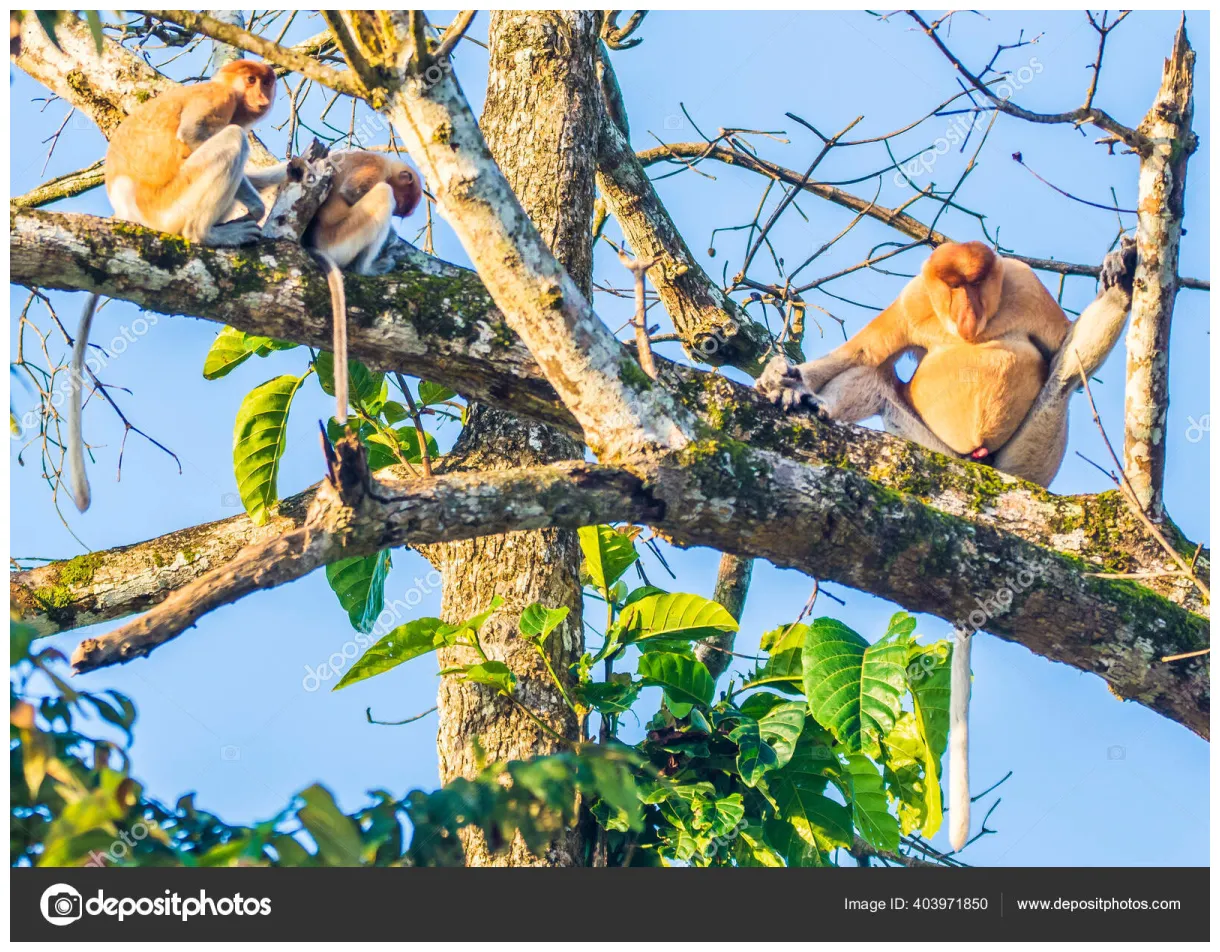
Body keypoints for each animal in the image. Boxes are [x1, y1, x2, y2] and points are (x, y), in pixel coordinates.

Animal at [68, 59, 279, 513]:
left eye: (266, 81)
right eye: (250, 80)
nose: (262, 95)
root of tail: (132, 216)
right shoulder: (218, 100)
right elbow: (193, 136)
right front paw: (255, 205)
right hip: (173, 204)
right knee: (230, 140)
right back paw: (210, 233)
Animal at [303, 150, 422, 426]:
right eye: (402, 204)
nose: (398, 212)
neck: (386, 163)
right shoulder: (373, 168)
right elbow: (351, 193)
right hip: (342, 237)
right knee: (382, 193)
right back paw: (367, 268)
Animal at [756, 237, 1137, 852]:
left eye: (974, 286)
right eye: (951, 288)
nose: (964, 315)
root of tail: (975, 464)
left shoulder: (1024, 285)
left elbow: (1063, 352)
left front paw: (1120, 275)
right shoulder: (914, 302)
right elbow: (862, 352)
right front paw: (782, 383)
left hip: (1024, 462)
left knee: (1061, 381)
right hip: (930, 445)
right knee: (877, 378)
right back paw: (813, 405)